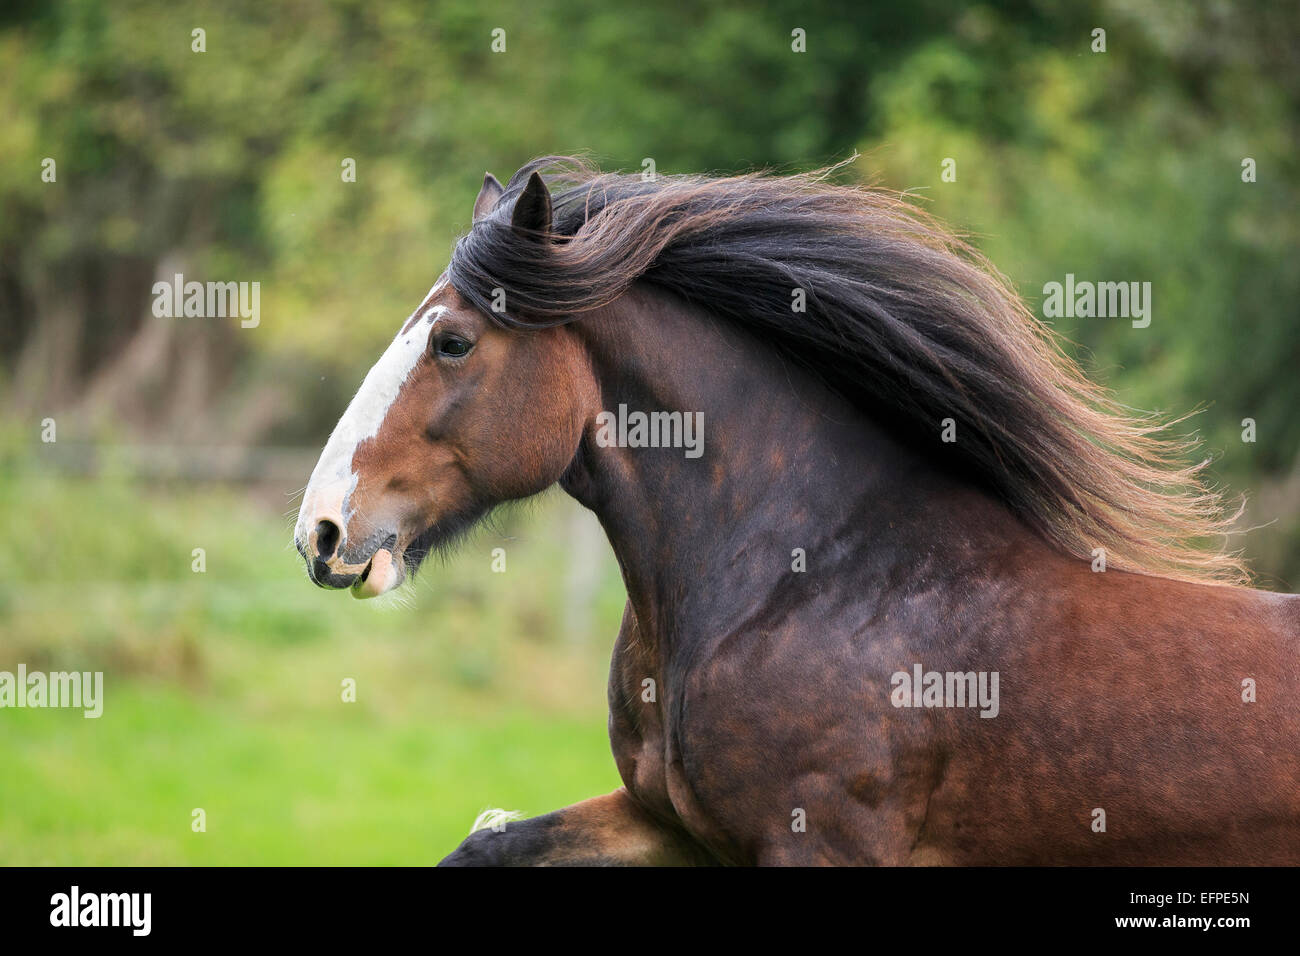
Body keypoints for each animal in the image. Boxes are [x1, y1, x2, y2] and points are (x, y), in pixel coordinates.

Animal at [294, 156, 1300, 865]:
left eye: (454, 342)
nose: (322, 533)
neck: (800, 585)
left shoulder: (816, 844)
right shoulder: (669, 825)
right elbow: (487, 843)